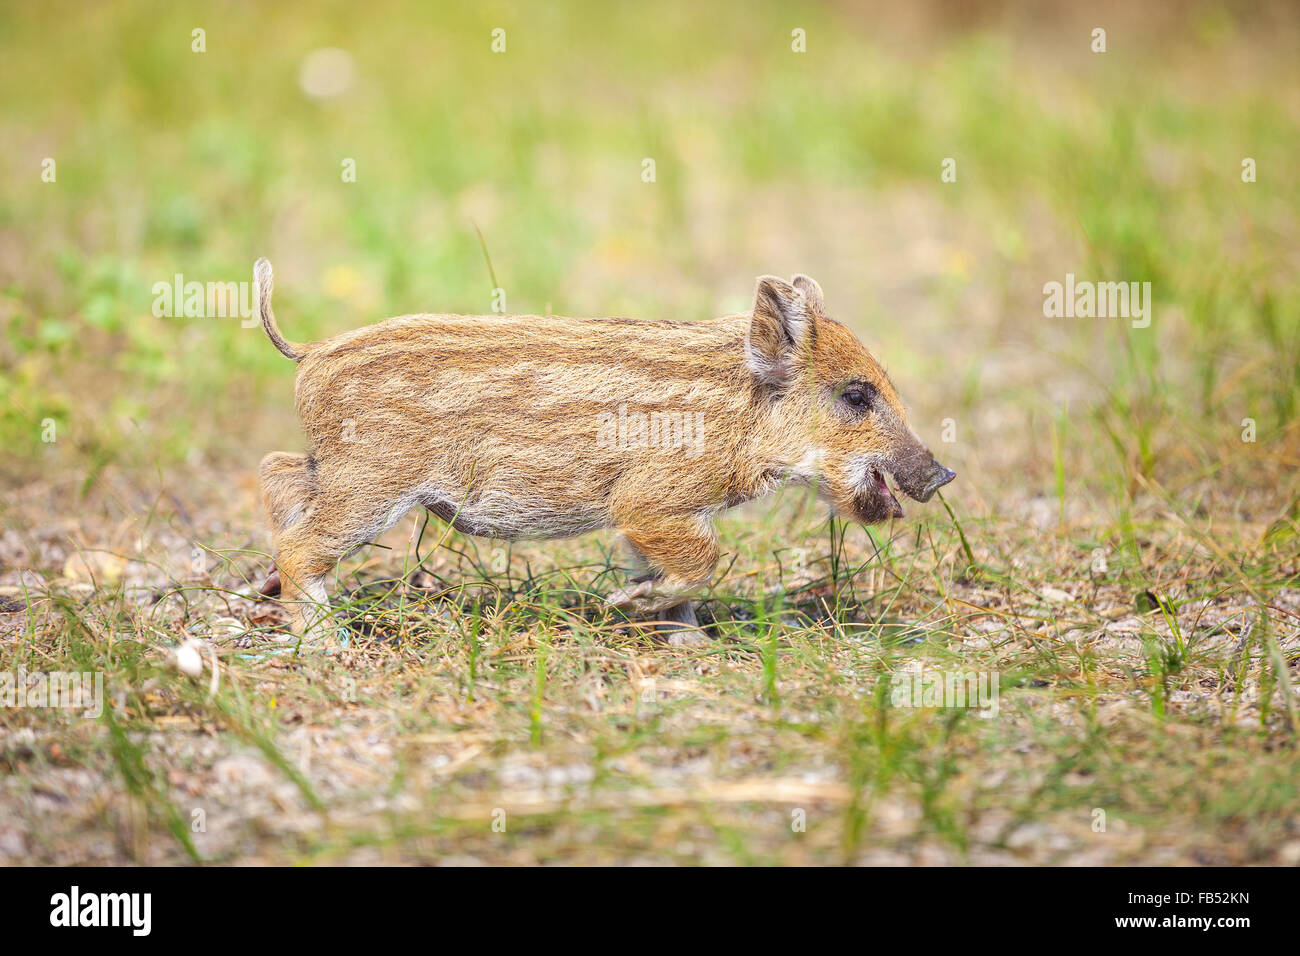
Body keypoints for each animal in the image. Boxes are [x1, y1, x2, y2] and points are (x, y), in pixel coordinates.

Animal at [253, 258, 955, 643]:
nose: (942, 474)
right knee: (303, 542)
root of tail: (310, 353)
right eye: (856, 395)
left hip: (332, 468)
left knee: (277, 474)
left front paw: (689, 647)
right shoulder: (650, 503)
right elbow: (703, 561)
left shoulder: (659, 520)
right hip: (370, 480)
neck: (738, 417)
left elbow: (673, 578)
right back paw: (327, 641)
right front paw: (622, 609)